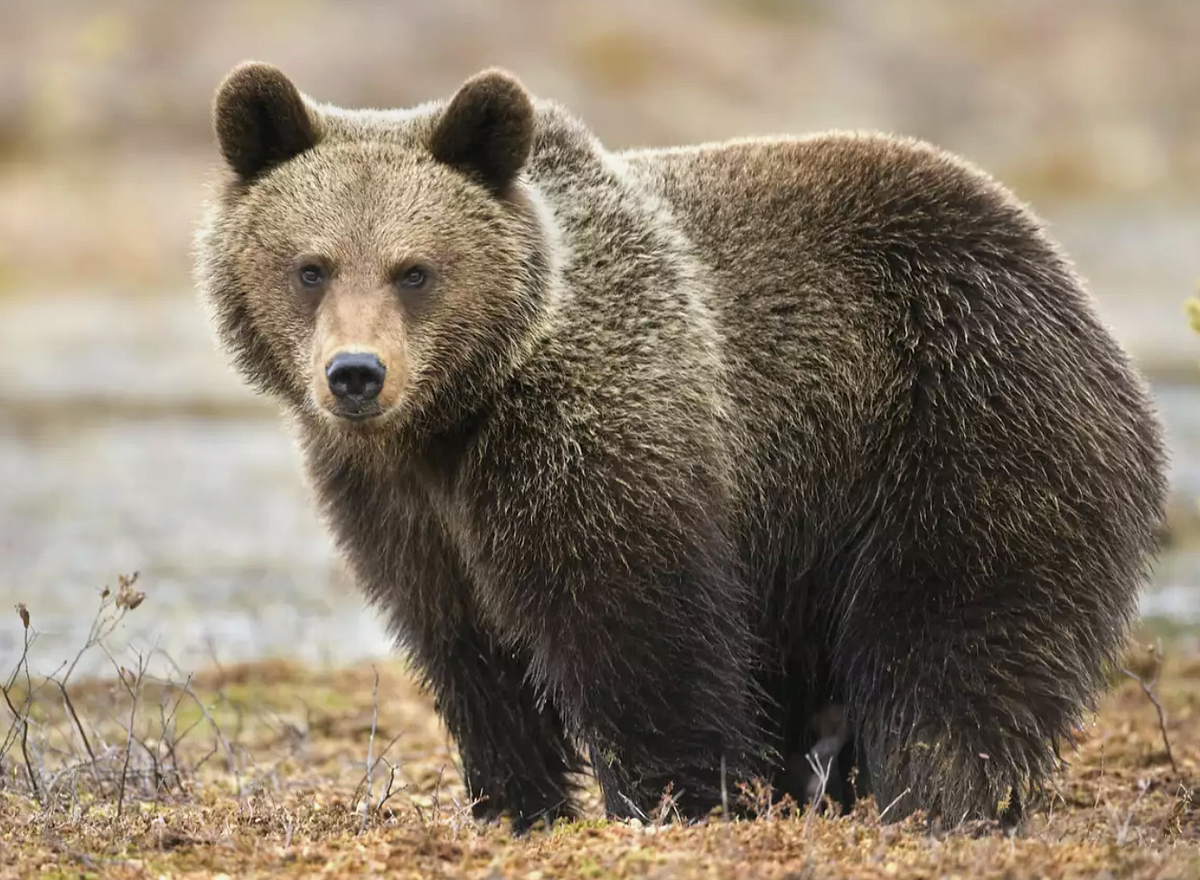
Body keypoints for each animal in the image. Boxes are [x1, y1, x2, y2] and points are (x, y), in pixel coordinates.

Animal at [193, 61, 1170, 834]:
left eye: (415, 270)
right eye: (310, 266)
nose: (356, 374)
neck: (453, 420)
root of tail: (1059, 270)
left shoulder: (599, 432)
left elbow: (638, 632)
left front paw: (676, 803)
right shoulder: (399, 506)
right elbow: (468, 653)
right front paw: (515, 805)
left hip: (964, 415)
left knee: (958, 635)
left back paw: (936, 797)